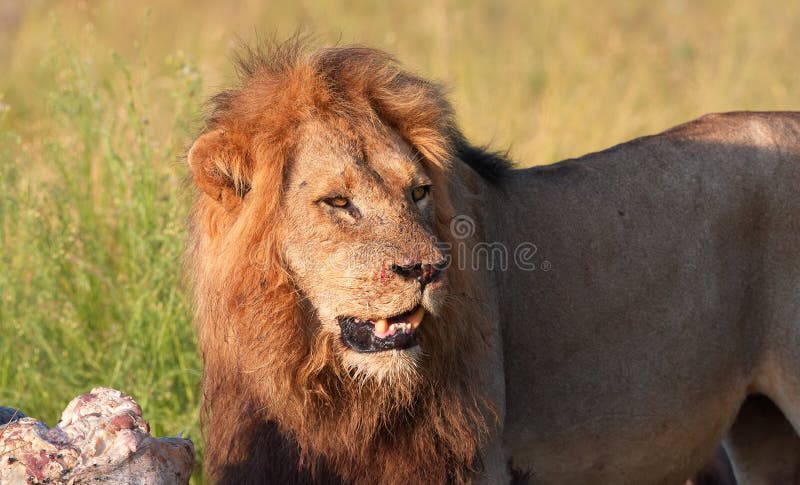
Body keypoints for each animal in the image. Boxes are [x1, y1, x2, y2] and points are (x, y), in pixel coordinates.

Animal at [186, 41, 800, 484]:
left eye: (418, 192)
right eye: (337, 202)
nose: (426, 271)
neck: (319, 386)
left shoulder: (476, 462)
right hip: (762, 431)